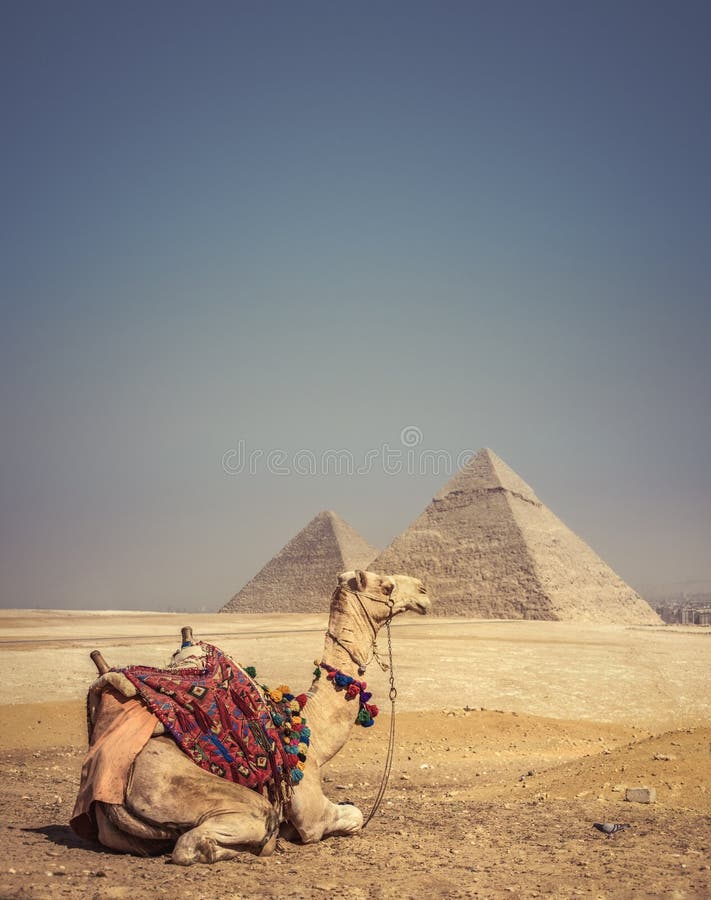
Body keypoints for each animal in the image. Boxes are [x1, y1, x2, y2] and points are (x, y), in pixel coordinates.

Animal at [72, 569, 431, 864]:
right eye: (386, 585)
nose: (424, 591)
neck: (310, 735)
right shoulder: (309, 809)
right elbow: (352, 815)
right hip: (204, 794)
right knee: (194, 843)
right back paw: (255, 846)